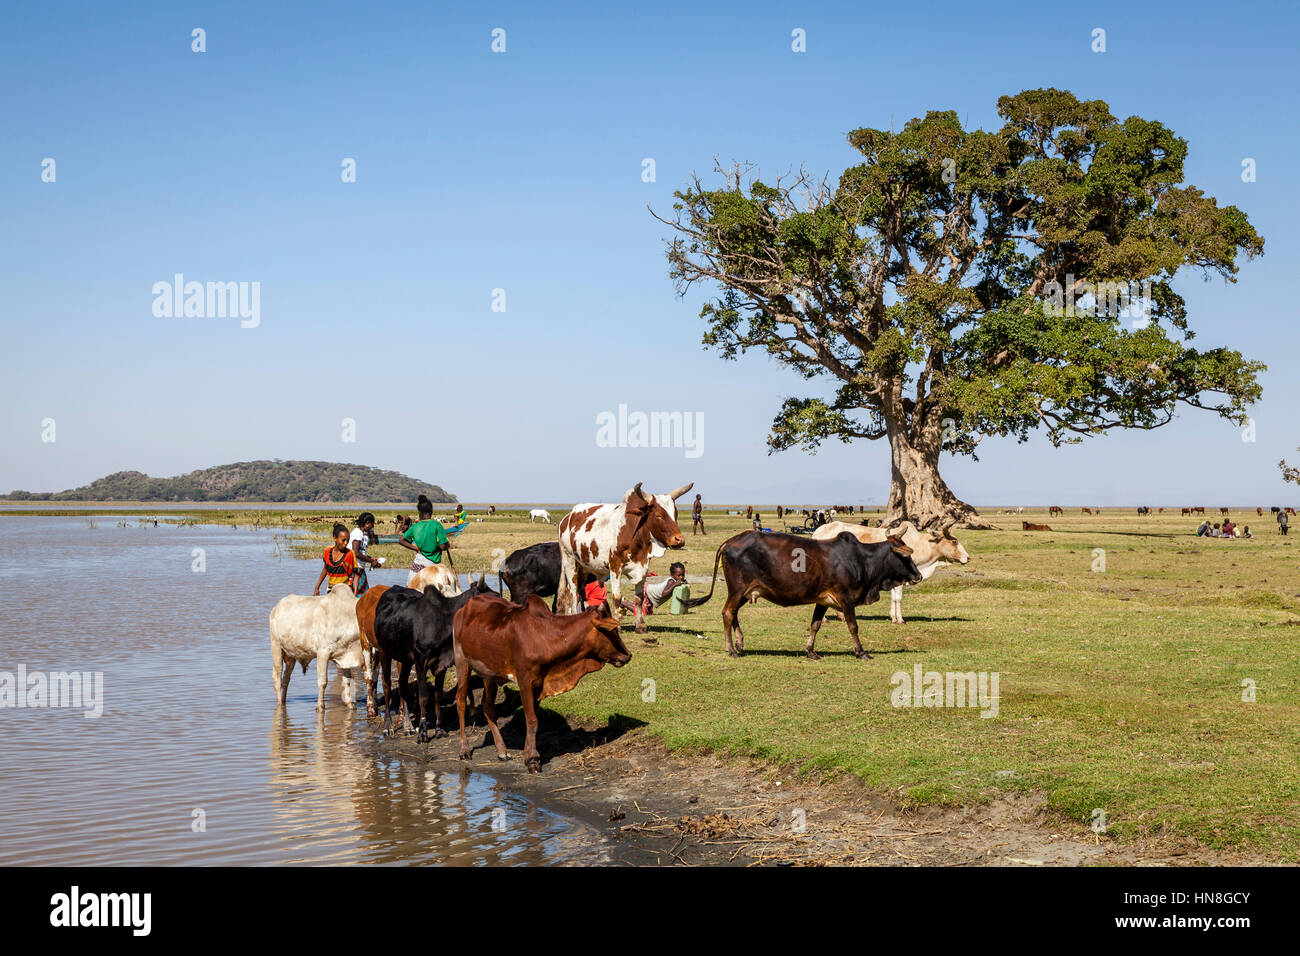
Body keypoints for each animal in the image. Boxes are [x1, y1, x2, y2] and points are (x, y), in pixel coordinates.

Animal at [373, 575, 497, 740]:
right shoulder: (420, 661)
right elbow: (424, 697)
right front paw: (423, 732)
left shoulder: (441, 663)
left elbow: (438, 695)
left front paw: (438, 729)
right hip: (383, 651)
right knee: (386, 686)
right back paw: (388, 727)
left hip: (406, 660)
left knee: (402, 685)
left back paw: (408, 726)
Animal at [453, 594, 631, 772]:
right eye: (612, 631)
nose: (627, 655)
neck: (546, 635)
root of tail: (463, 609)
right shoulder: (525, 681)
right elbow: (532, 720)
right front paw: (532, 760)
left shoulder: (539, 684)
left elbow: (535, 721)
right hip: (462, 662)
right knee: (461, 701)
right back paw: (464, 750)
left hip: (489, 674)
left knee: (488, 706)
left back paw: (502, 751)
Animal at [556, 481, 693, 631]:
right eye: (659, 515)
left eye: (675, 513)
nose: (679, 539)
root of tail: (566, 518)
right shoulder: (615, 567)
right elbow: (617, 597)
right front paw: (616, 625)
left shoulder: (643, 566)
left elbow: (639, 598)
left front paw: (640, 625)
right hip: (569, 561)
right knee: (572, 592)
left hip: (583, 566)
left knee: (580, 591)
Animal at [684, 530, 922, 660]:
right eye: (904, 556)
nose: (918, 576)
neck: (862, 559)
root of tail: (730, 541)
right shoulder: (845, 599)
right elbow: (853, 626)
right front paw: (861, 652)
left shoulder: (823, 600)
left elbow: (815, 625)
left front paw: (811, 651)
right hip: (738, 589)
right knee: (727, 613)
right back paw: (731, 649)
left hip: (742, 593)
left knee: (732, 614)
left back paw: (740, 644)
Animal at [812, 520, 969, 624]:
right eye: (954, 541)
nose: (968, 557)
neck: (920, 544)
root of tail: (817, 532)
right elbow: (898, 598)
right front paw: (900, 619)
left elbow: (894, 597)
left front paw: (893, 617)